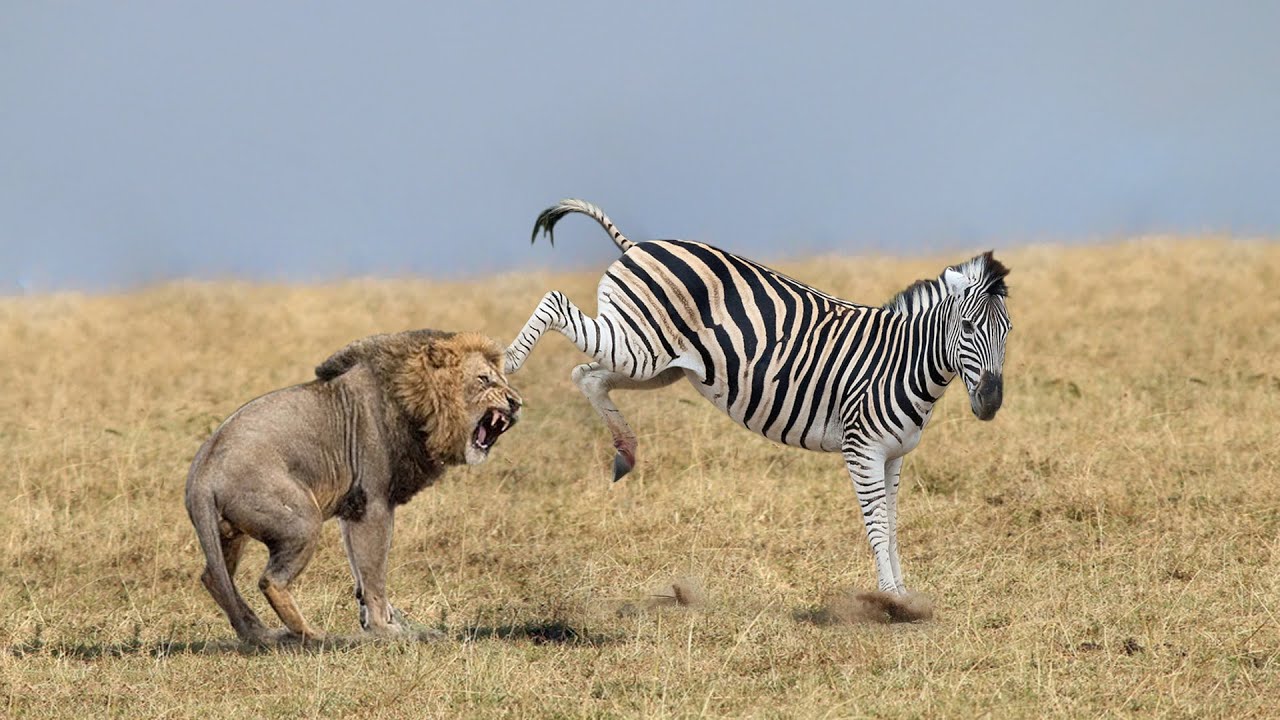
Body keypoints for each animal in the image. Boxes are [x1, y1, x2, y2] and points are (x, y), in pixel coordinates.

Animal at [184, 329, 522, 645]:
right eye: (484, 379)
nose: (517, 403)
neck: (415, 400)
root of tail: (202, 474)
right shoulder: (373, 504)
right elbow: (374, 572)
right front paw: (385, 629)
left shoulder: (352, 508)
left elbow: (360, 570)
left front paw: (381, 621)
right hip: (301, 520)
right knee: (271, 581)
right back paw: (310, 635)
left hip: (230, 533)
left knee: (214, 578)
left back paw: (261, 633)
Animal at [504, 199, 1011, 594]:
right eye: (968, 327)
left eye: (1006, 331)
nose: (990, 402)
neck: (904, 364)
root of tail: (638, 245)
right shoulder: (863, 451)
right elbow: (878, 527)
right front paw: (890, 600)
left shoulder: (893, 456)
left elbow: (893, 525)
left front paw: (902, 592)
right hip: (640, 348)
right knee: (555, 303)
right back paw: (505, 366)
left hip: (657, 363)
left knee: (587, 375)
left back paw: (625, 451)